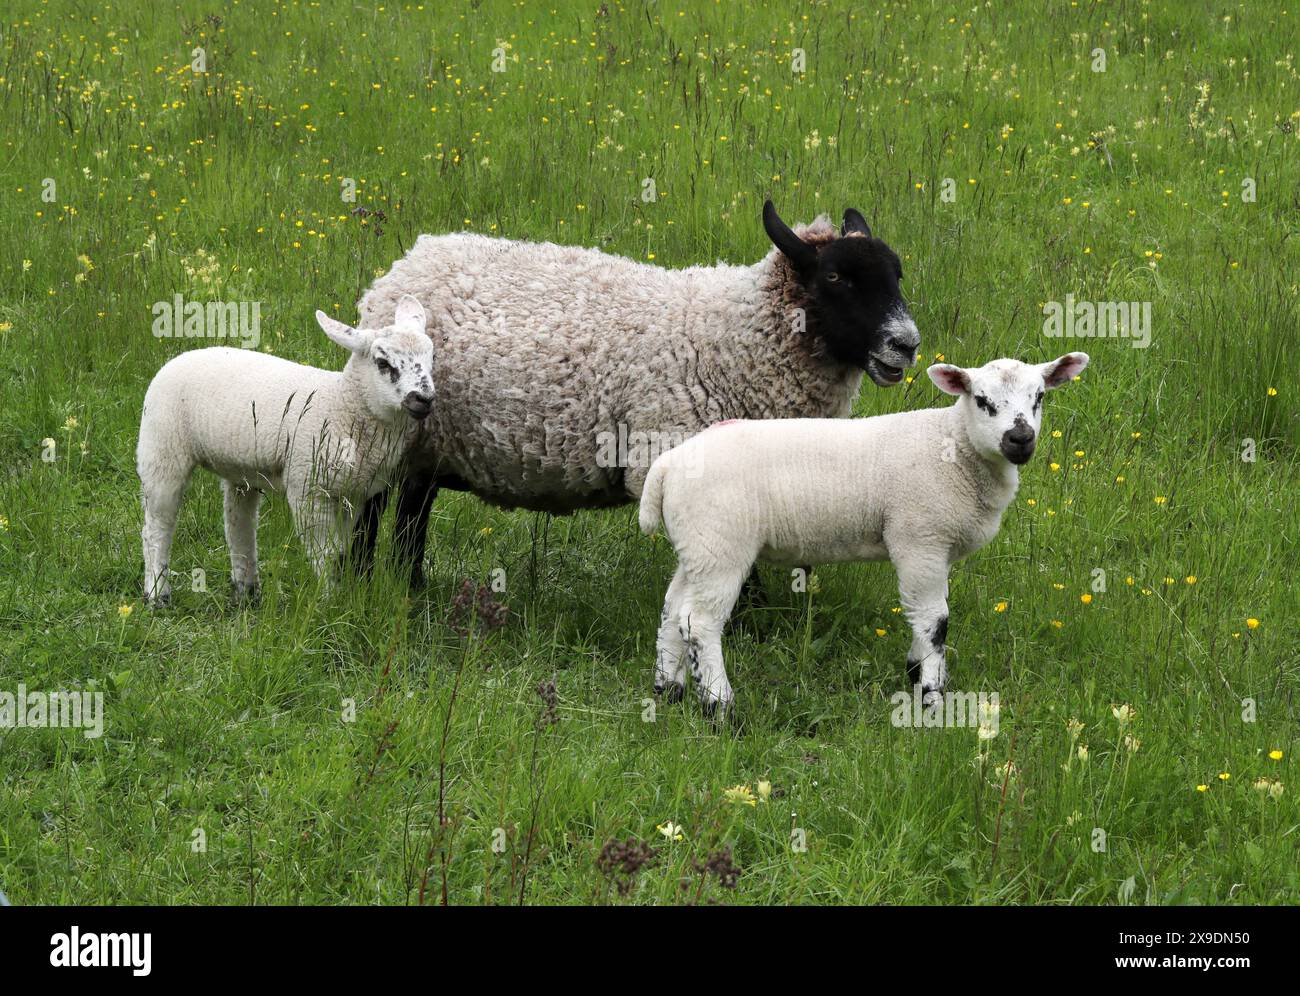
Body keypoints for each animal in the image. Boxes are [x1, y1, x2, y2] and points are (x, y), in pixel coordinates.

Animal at [136, 295, 436, 606]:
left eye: (432, 358)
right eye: (383, 362)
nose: (424, 399)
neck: (341, 404)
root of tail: (181, 357)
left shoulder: (353, 495)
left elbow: (340, 551)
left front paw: (339, 595)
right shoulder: (308, 487)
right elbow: (324, 553)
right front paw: (328, 601)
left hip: (239, 468)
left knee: (239, 524)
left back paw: (247, 591)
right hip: (161, 449)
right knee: (157, 527)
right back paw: (157, 593)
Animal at [348, 201, 921, 587]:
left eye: (897, 274)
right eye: (835, 277)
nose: (907, 344)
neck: (736, 339)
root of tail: (411, 260)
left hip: (431, 441)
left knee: (413, 509)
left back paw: (411, 588)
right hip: (388, 427)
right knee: (373, 509)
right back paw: (362, 581)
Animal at [638, 352, 1091, 716]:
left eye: (1039, 397)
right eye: (982, 400)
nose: (1020, 439)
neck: (953, 446)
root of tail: (667, 466)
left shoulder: (935, 549)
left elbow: (926, 618)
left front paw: (916, 671)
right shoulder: (919, 538)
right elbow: (934, 620)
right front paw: (931, 697)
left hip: (697, 547)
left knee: (673, 611)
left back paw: (668, 689)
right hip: (721, 544)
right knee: (699, 623)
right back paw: (721, 707)